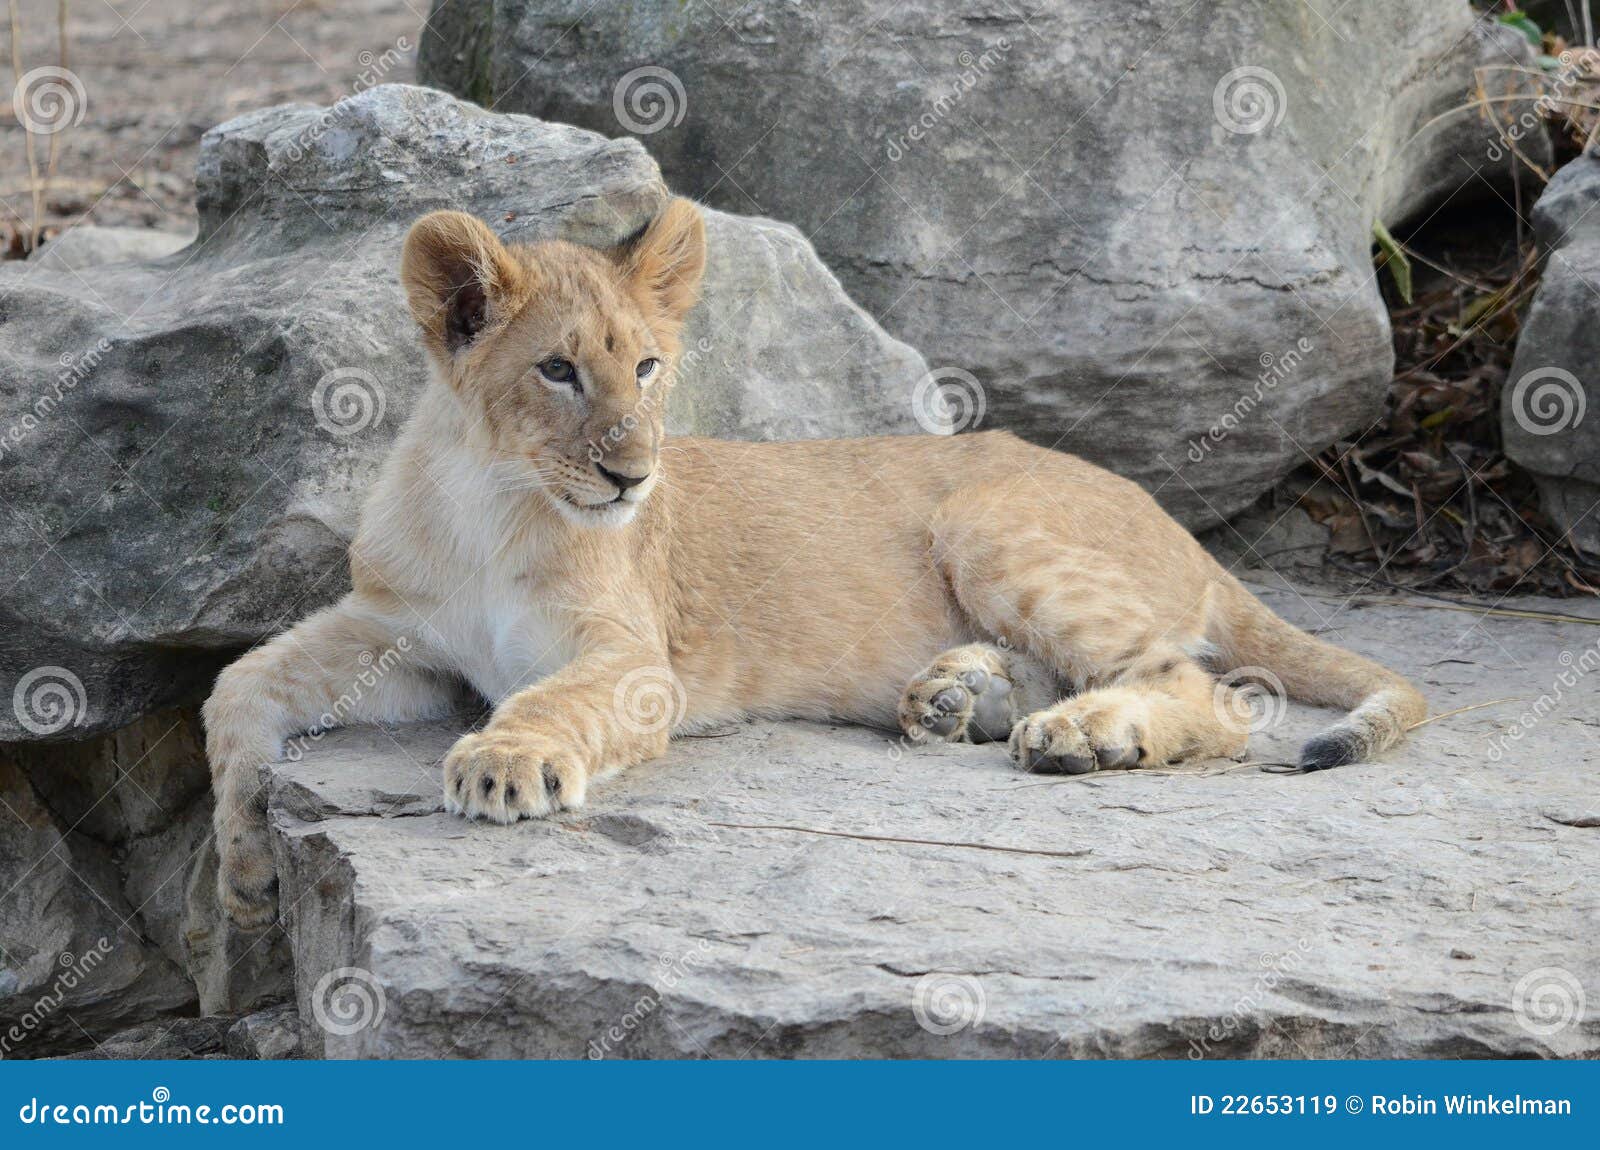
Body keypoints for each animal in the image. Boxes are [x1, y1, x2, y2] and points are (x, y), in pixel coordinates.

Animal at [202, 198, 1427, 927]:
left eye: (647, 368)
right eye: (556, 371)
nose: (632, 478)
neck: (491, 500)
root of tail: (1176, 525)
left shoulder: (635, 664)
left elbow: (549, 702)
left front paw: (503, 765)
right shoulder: (395, 634)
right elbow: (236, 688)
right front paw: (244, 867)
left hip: (985, 520)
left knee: (1208, 693)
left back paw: (1080, 736)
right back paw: (958, 699)